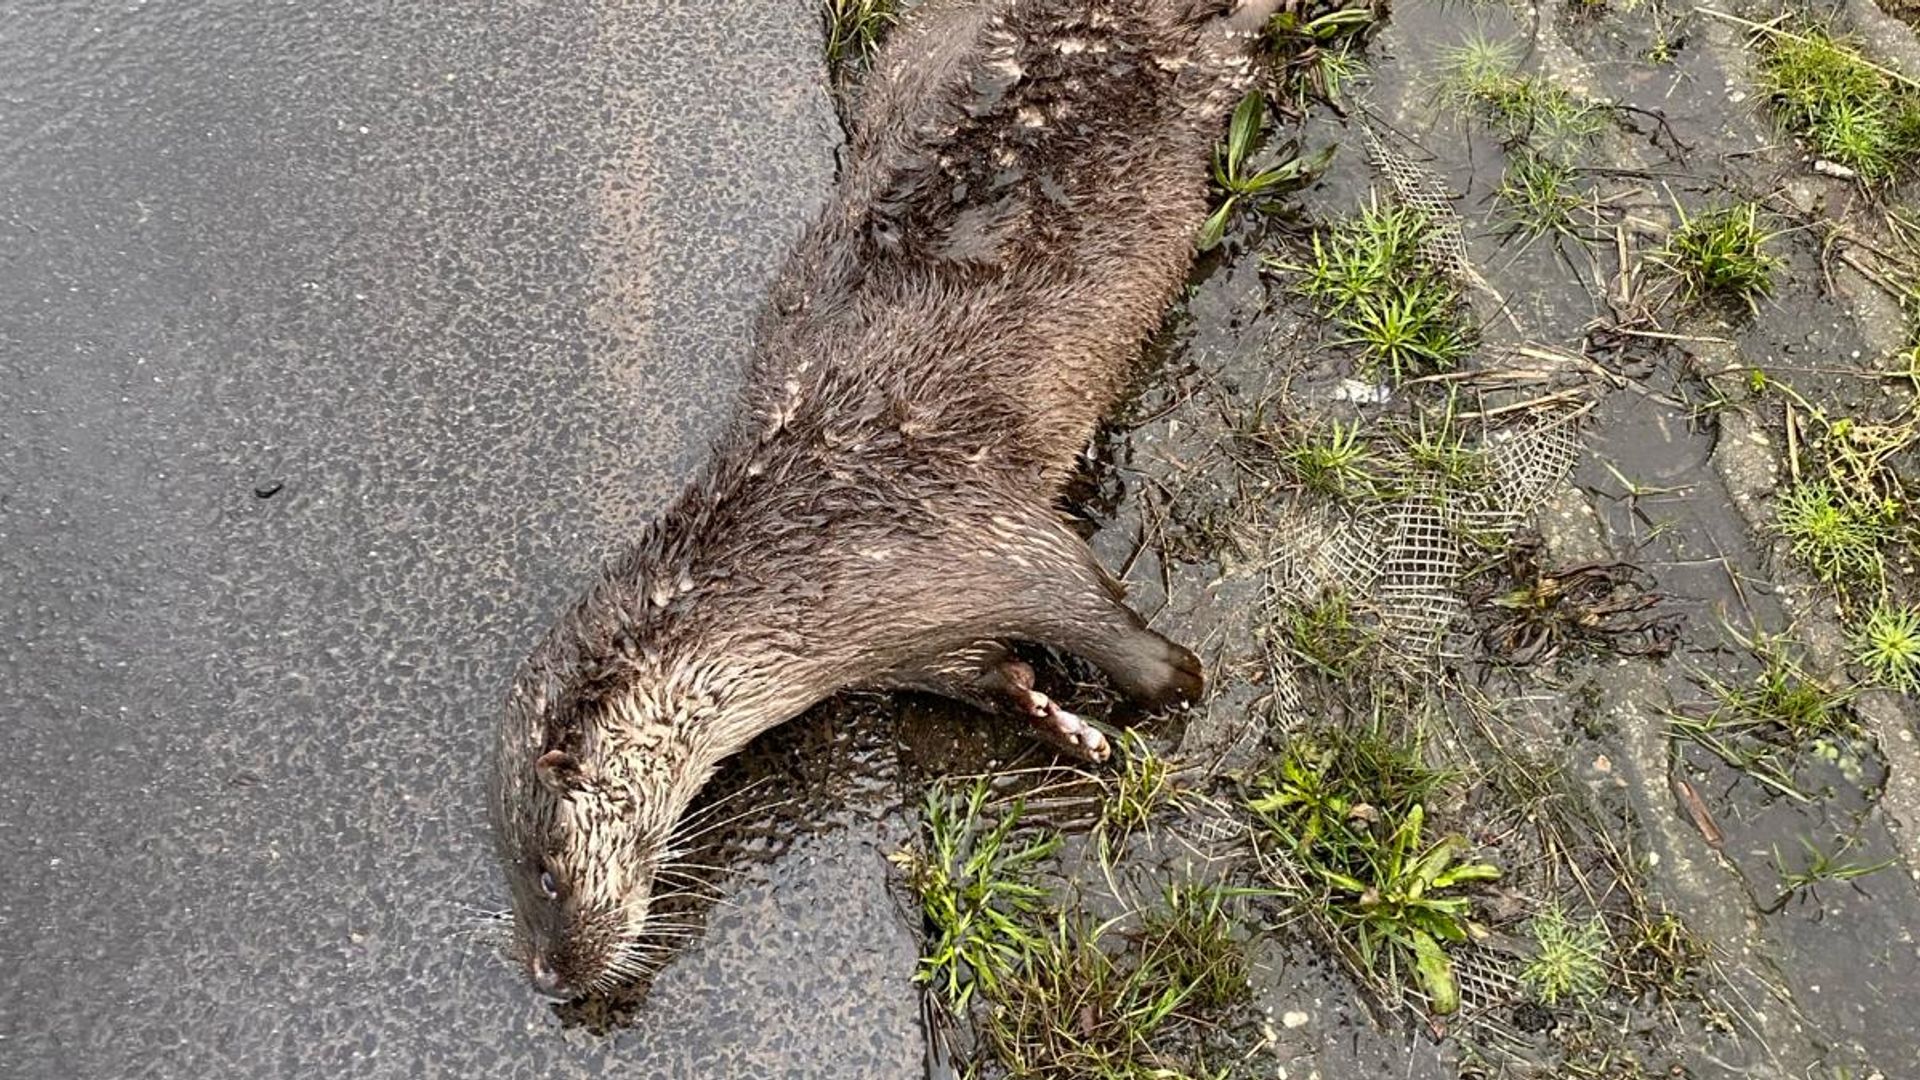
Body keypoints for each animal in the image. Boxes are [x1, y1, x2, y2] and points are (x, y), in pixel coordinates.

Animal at [492, 0, 1285, 1001]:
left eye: (545, 875)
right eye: (519, 885)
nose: (546, 975)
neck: (800, 570)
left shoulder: (968, 530)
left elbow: (1089, 601)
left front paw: (1174, 679)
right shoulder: (928, 649)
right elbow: (996, 678)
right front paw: (1062, 725)